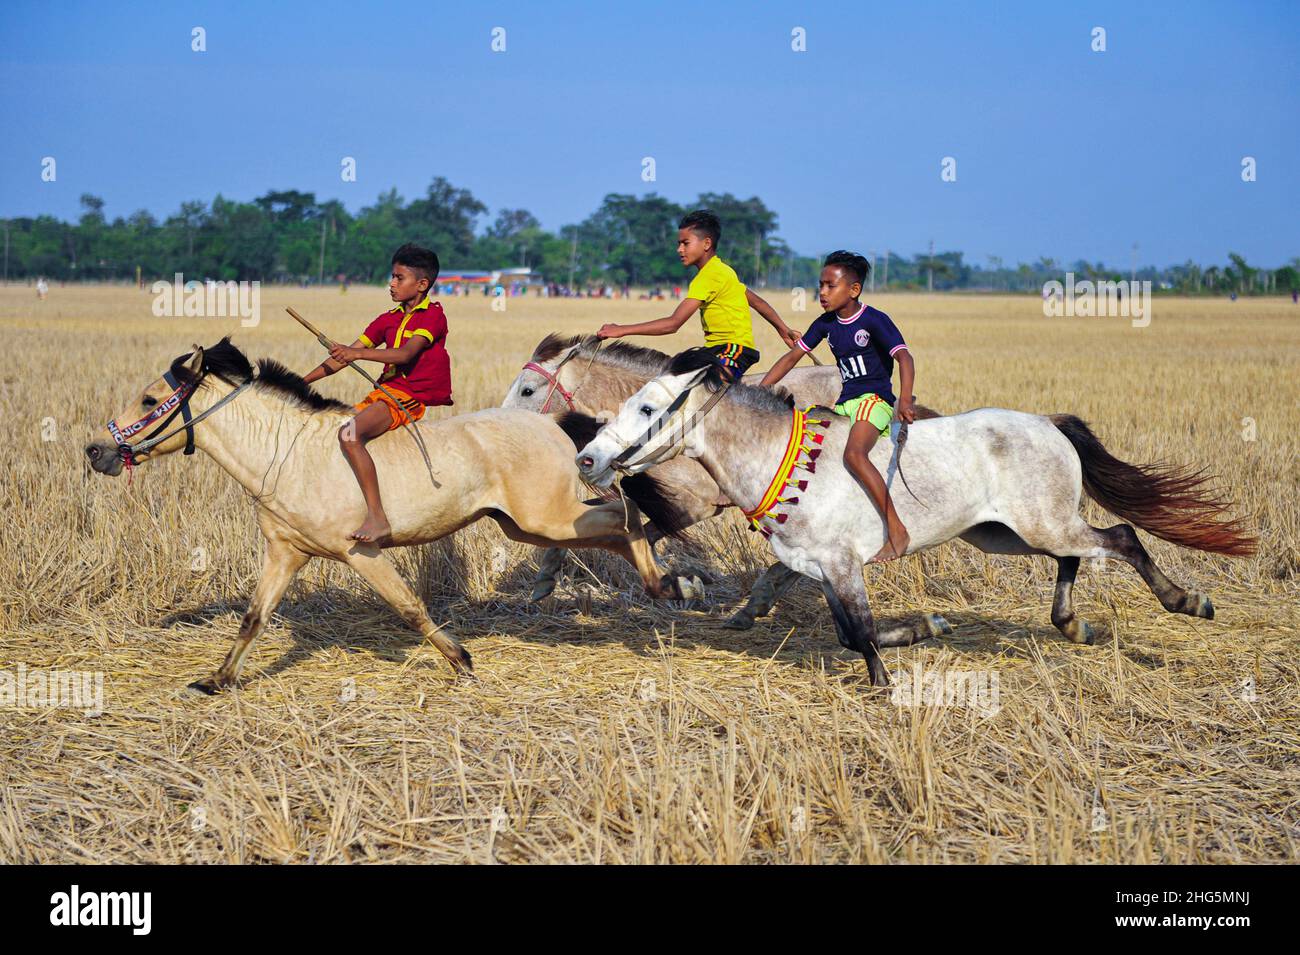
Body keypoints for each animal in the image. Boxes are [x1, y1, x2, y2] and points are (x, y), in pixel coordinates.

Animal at [85, 338, 696, 693]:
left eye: (149, 400)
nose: (96, 450)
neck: (284, 451)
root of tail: (553, 422)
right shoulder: (285, 553)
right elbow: (254, 618)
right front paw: (216, 679)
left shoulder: (362, 551)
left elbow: (410, 608)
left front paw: (461, 661)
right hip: (522, 525)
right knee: (616, 527)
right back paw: (662, 583)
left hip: (547, 517)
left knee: (624, 514)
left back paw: (669, 583)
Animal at [503, 333, 944, 628]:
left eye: (528, 390)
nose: (503, 425)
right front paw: (545, 578)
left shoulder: (694, 505)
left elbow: (642, 534)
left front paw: (677, 583)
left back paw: (758, 601)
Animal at [574, 347, 1256, 686]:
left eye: (646, 409)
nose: (587, 459)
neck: (777, 459)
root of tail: (1048, 422)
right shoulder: (817, 568)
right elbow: (851, 633)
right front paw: (923, 631)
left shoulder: (841, 564)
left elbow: (861, 633)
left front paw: (897, 665)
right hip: (1003, 534)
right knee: (1076, 554)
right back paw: (1072, 625)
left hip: (1041, 524)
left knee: (1122, 536)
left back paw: (1185, 601)